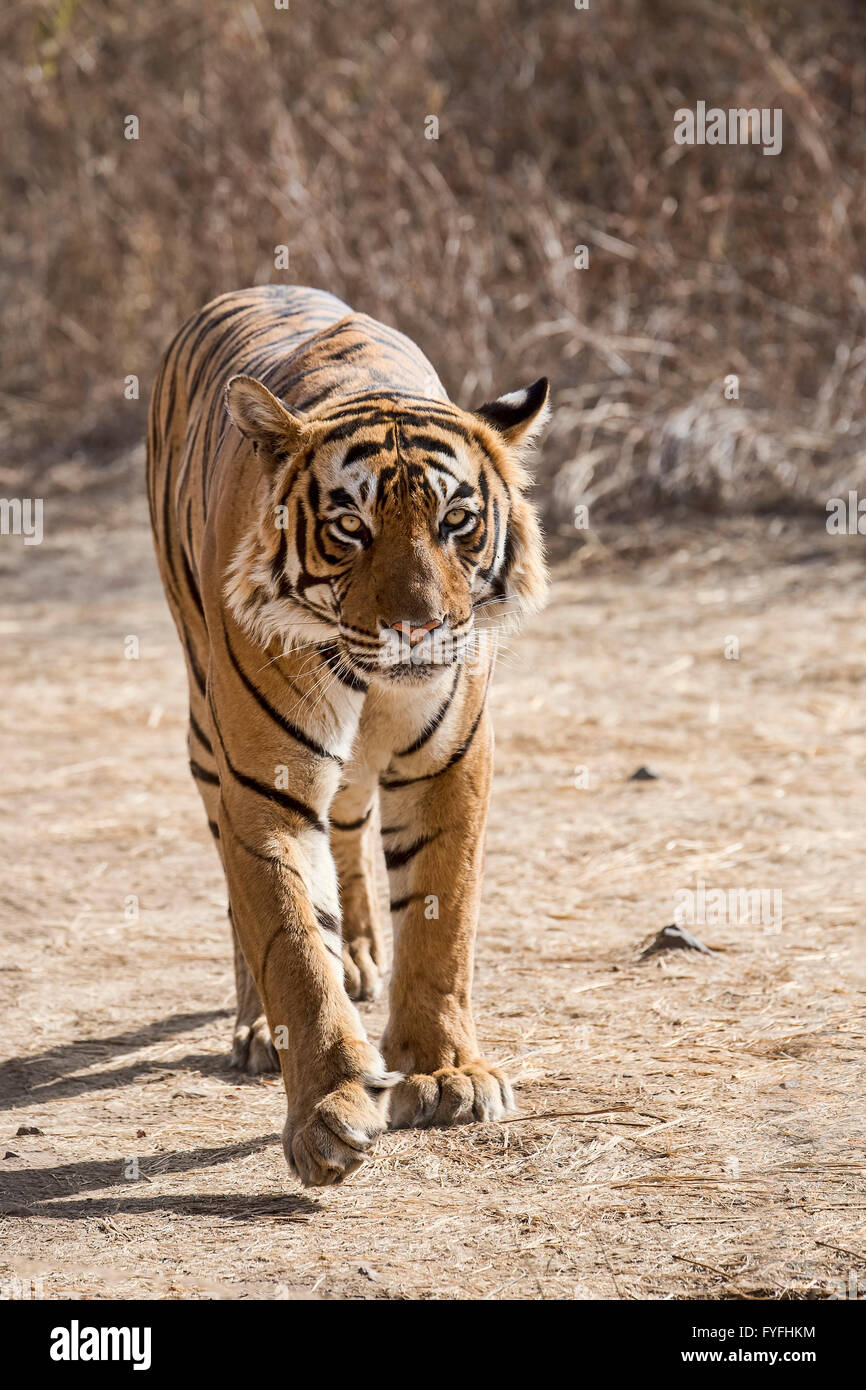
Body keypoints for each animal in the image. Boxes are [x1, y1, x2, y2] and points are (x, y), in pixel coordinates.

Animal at [146, 285, 550, 1186]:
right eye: (351, 527)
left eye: (457, 521)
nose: (416, 628)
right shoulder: (264, 780)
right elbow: (292, 943)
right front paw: (327, 1112)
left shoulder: (450, 761)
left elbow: (439, 922)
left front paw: (444, 1074)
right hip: (204, 730)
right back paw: (258, 1030)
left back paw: (364, 958)